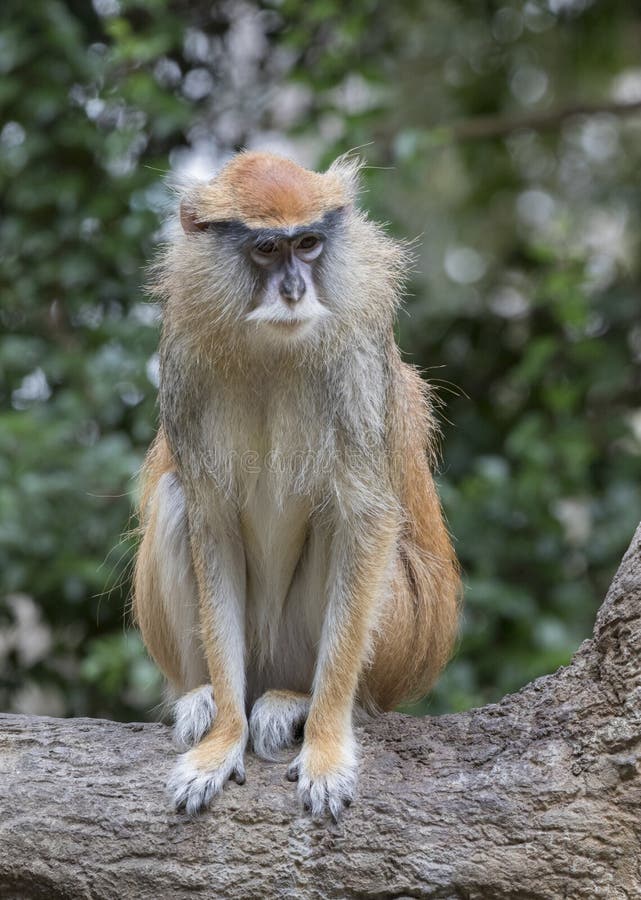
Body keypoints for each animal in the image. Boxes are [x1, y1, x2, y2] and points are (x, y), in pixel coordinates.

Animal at [133, 150, 461, 821]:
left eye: (308, 244)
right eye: (266, 249)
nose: (293, 290)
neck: (272, 350)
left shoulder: (355, 372)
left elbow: (364, 521)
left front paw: (327, 747)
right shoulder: (183, 371)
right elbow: (210, 524)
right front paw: (222, 739)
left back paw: (297, 700)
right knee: (177, 501)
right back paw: (203, 696)